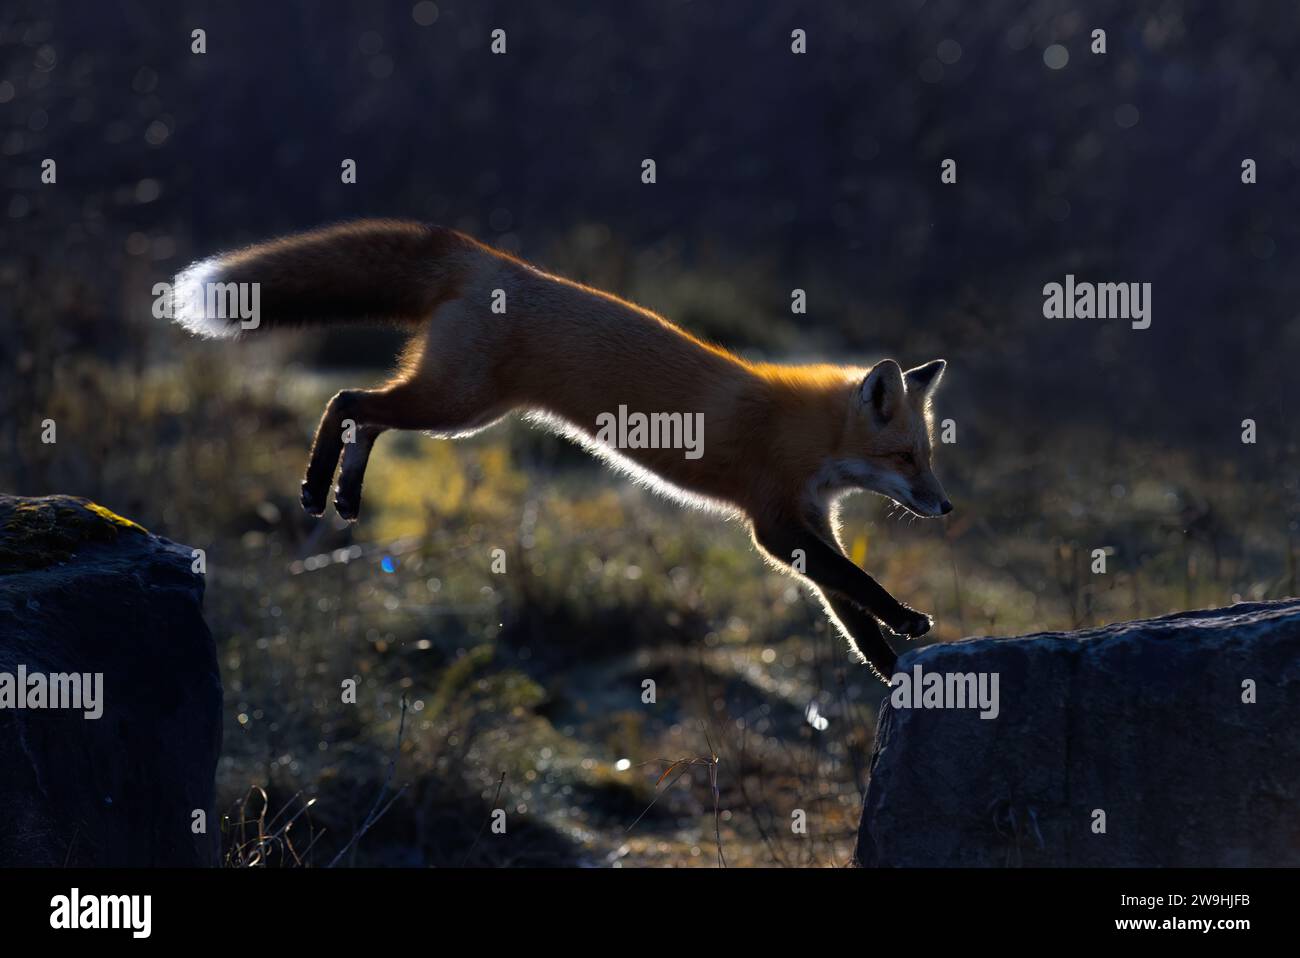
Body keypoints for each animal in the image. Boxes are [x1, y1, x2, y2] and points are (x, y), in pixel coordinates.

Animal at [170, 220, 952, 682]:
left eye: (928, 457)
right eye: (908, 459)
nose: (945, 507)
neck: (808, 437)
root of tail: (491, 260)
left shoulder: (811, 524)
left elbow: (845, 605)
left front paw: (887, 664)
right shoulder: (775, 522)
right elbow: (855, 584)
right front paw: (906, 622)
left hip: (460, 412)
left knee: (363, 417)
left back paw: (346, 495)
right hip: (451, 407)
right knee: (345, 402)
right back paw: (313, 488)